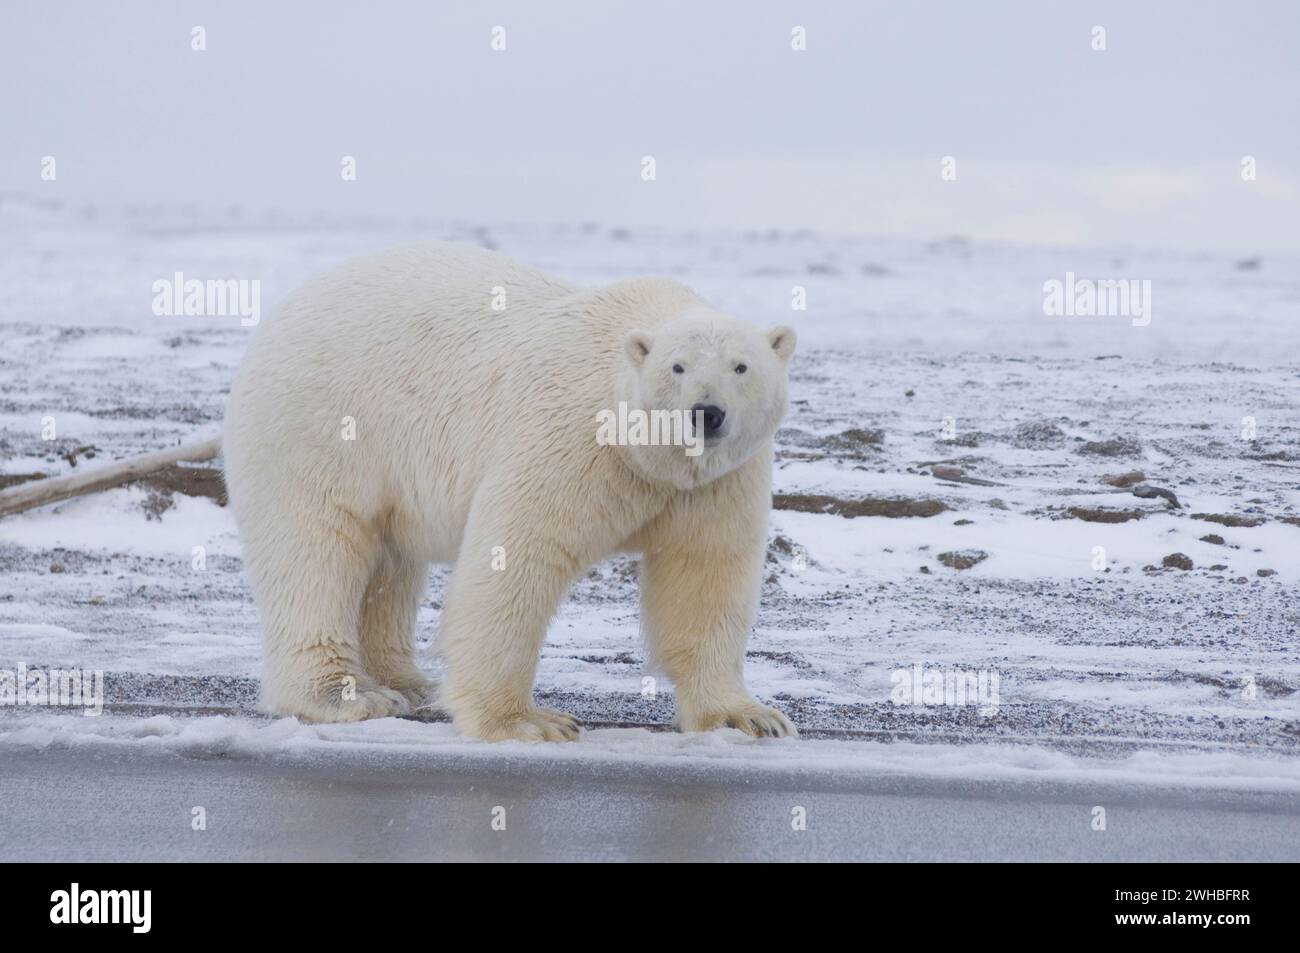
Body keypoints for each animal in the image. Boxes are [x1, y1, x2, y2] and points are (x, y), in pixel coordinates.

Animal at [222, 241, 797, 742]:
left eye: (741, 366)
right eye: (677, 367)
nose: (706, 413)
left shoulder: (717, 482)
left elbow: (705, 575)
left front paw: (748, 717)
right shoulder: (572, 440)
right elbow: (515, 558)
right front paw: (527, 722)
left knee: (390, 567)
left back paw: (409, 682)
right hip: (323, 428)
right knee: (317, 551)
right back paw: (349, 696)